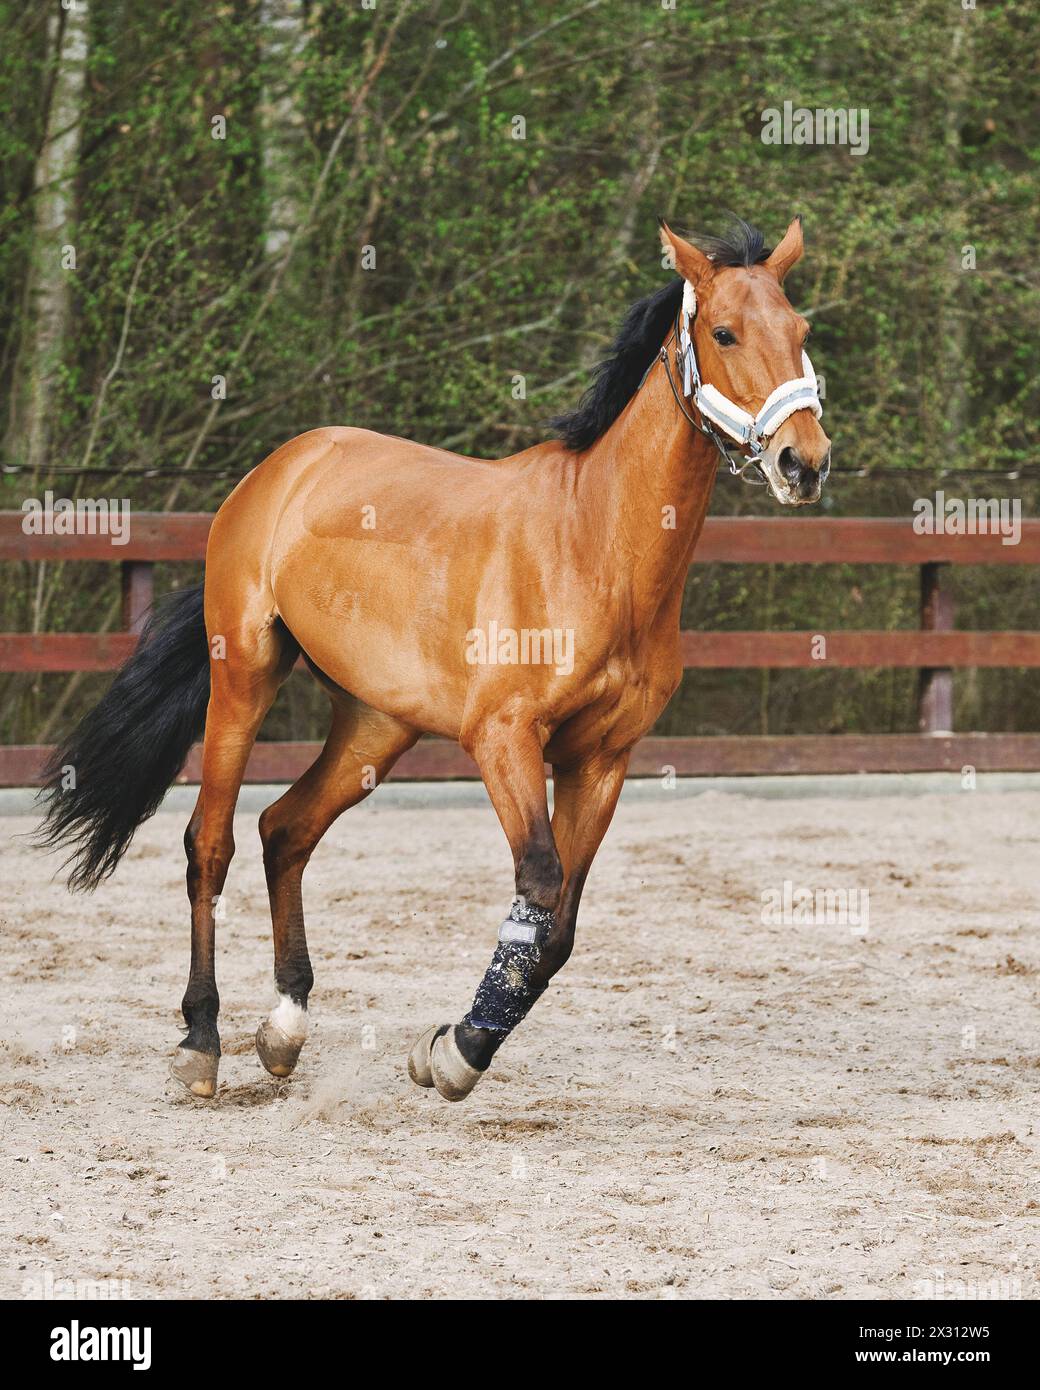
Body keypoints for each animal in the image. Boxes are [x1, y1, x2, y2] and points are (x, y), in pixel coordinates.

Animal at [38, 215, 831, 1102]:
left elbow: (559, 928)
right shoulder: (504, 740)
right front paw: (457, 1053)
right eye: (724, 332)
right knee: (211, 845)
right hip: (244, 675)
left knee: (286, 830)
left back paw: (283, 1029)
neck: (595, 546)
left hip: (377, 724)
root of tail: (277, 469)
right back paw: (201, 1041)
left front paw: (450, 1046)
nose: (804, 461)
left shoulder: (602, 758)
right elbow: (540, 886)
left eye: (801, 331)